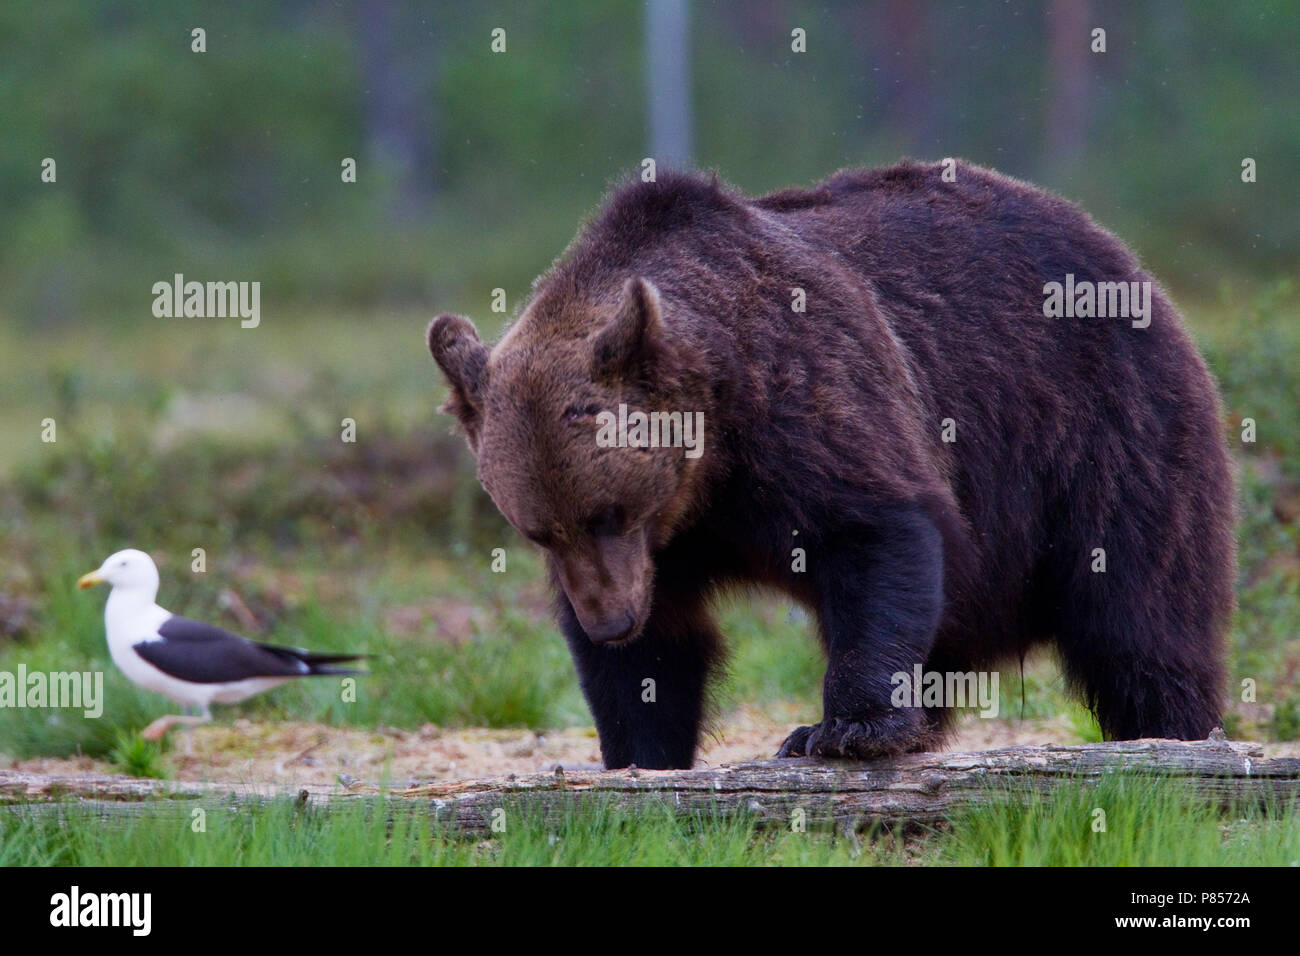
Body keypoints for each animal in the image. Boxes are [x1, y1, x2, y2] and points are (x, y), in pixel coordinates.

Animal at [426, 159, 1235, 771]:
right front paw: (638, 750)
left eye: (610, 511)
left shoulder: (800, 404)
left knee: (1137, 613)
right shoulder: (665, 546)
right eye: (540, 530)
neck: (708, 466)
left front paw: (845, 727)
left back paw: (1171, 730)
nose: (612, 621)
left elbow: (873, 530)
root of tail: (1119, 251)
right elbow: (663, 651)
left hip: (1107, 426)